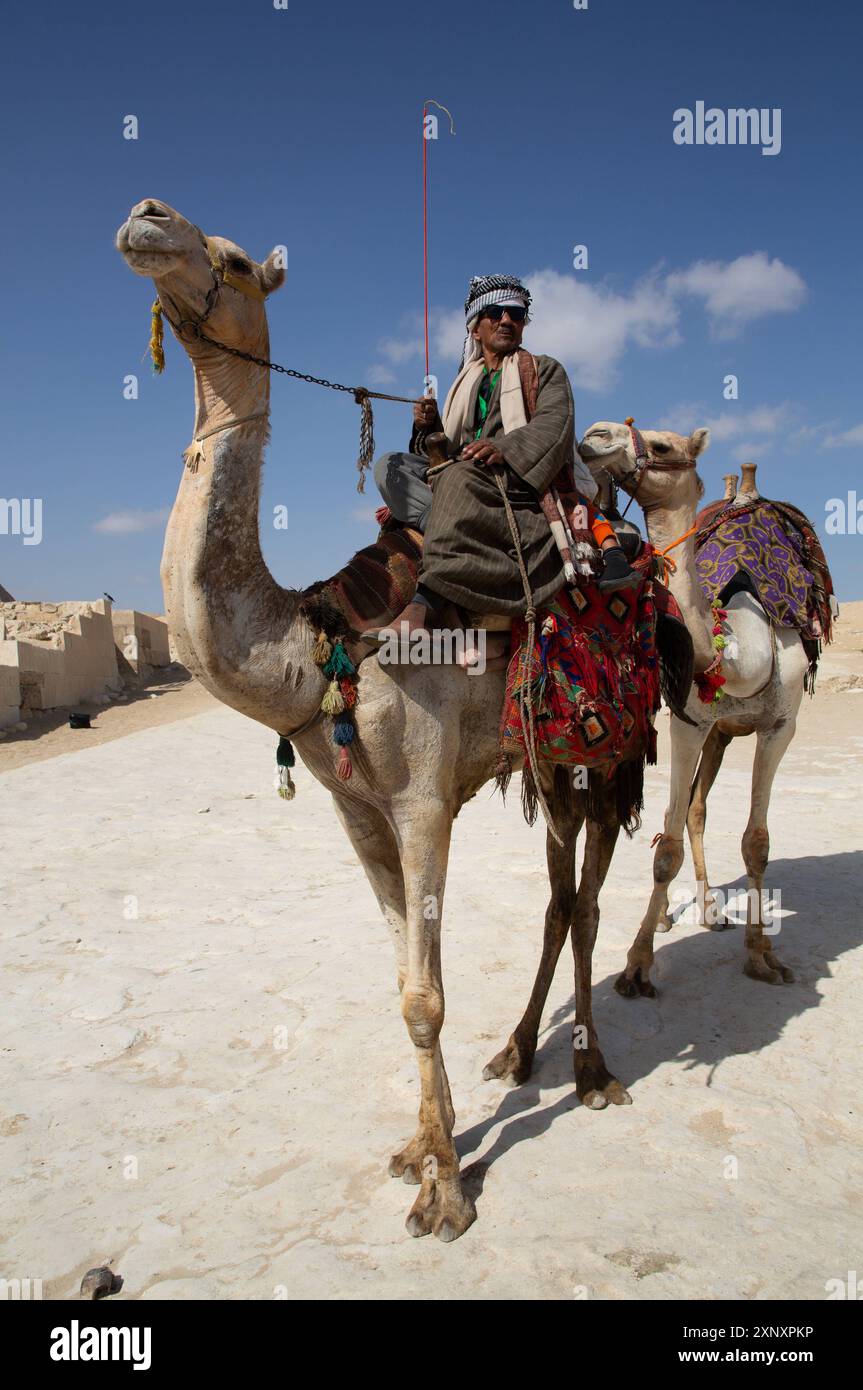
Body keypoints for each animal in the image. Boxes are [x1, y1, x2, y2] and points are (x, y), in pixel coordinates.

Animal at [116, 198, 640, 1243]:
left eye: (234, 258)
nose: (146, 218)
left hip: (607, 755)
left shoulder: (423, 801)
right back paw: (519, 1052)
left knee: (591, 896)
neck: (311, 642)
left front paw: (445, 1191)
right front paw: (421, 1148)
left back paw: (593, 1072)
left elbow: (424, 996)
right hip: (550, 762)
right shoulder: (355, 812)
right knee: (561, 893)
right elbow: (401, 981)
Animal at [578, 421, 810, 994]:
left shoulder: (781, 726)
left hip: (728, 732)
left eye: (662, 445)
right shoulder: (688, 723)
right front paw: (638, 963)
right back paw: (678, 912)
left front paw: (762, 955)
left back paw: (712, 911)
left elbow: (756, 843)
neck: (738, 650)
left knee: (701, 810)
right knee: (689, 814)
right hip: (710, 730)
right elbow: (668, 846)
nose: (594, 434)